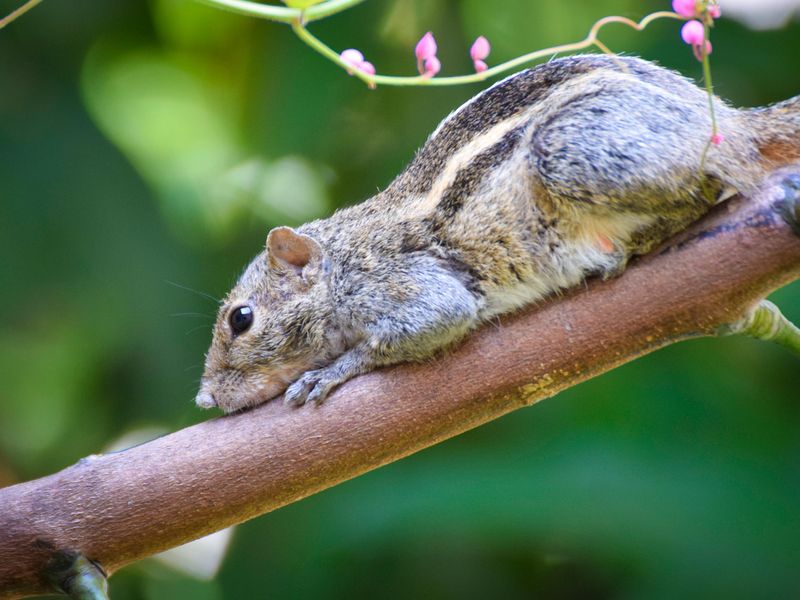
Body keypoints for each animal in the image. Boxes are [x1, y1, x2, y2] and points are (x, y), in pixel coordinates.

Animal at [195, 54, 800, 412]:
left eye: (241, 319)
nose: (204, 399)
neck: (342, 261)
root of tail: (731, 123)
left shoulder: (402, 285)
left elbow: (425, 324)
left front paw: (332, 370)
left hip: (567, 151)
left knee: (708, 186)